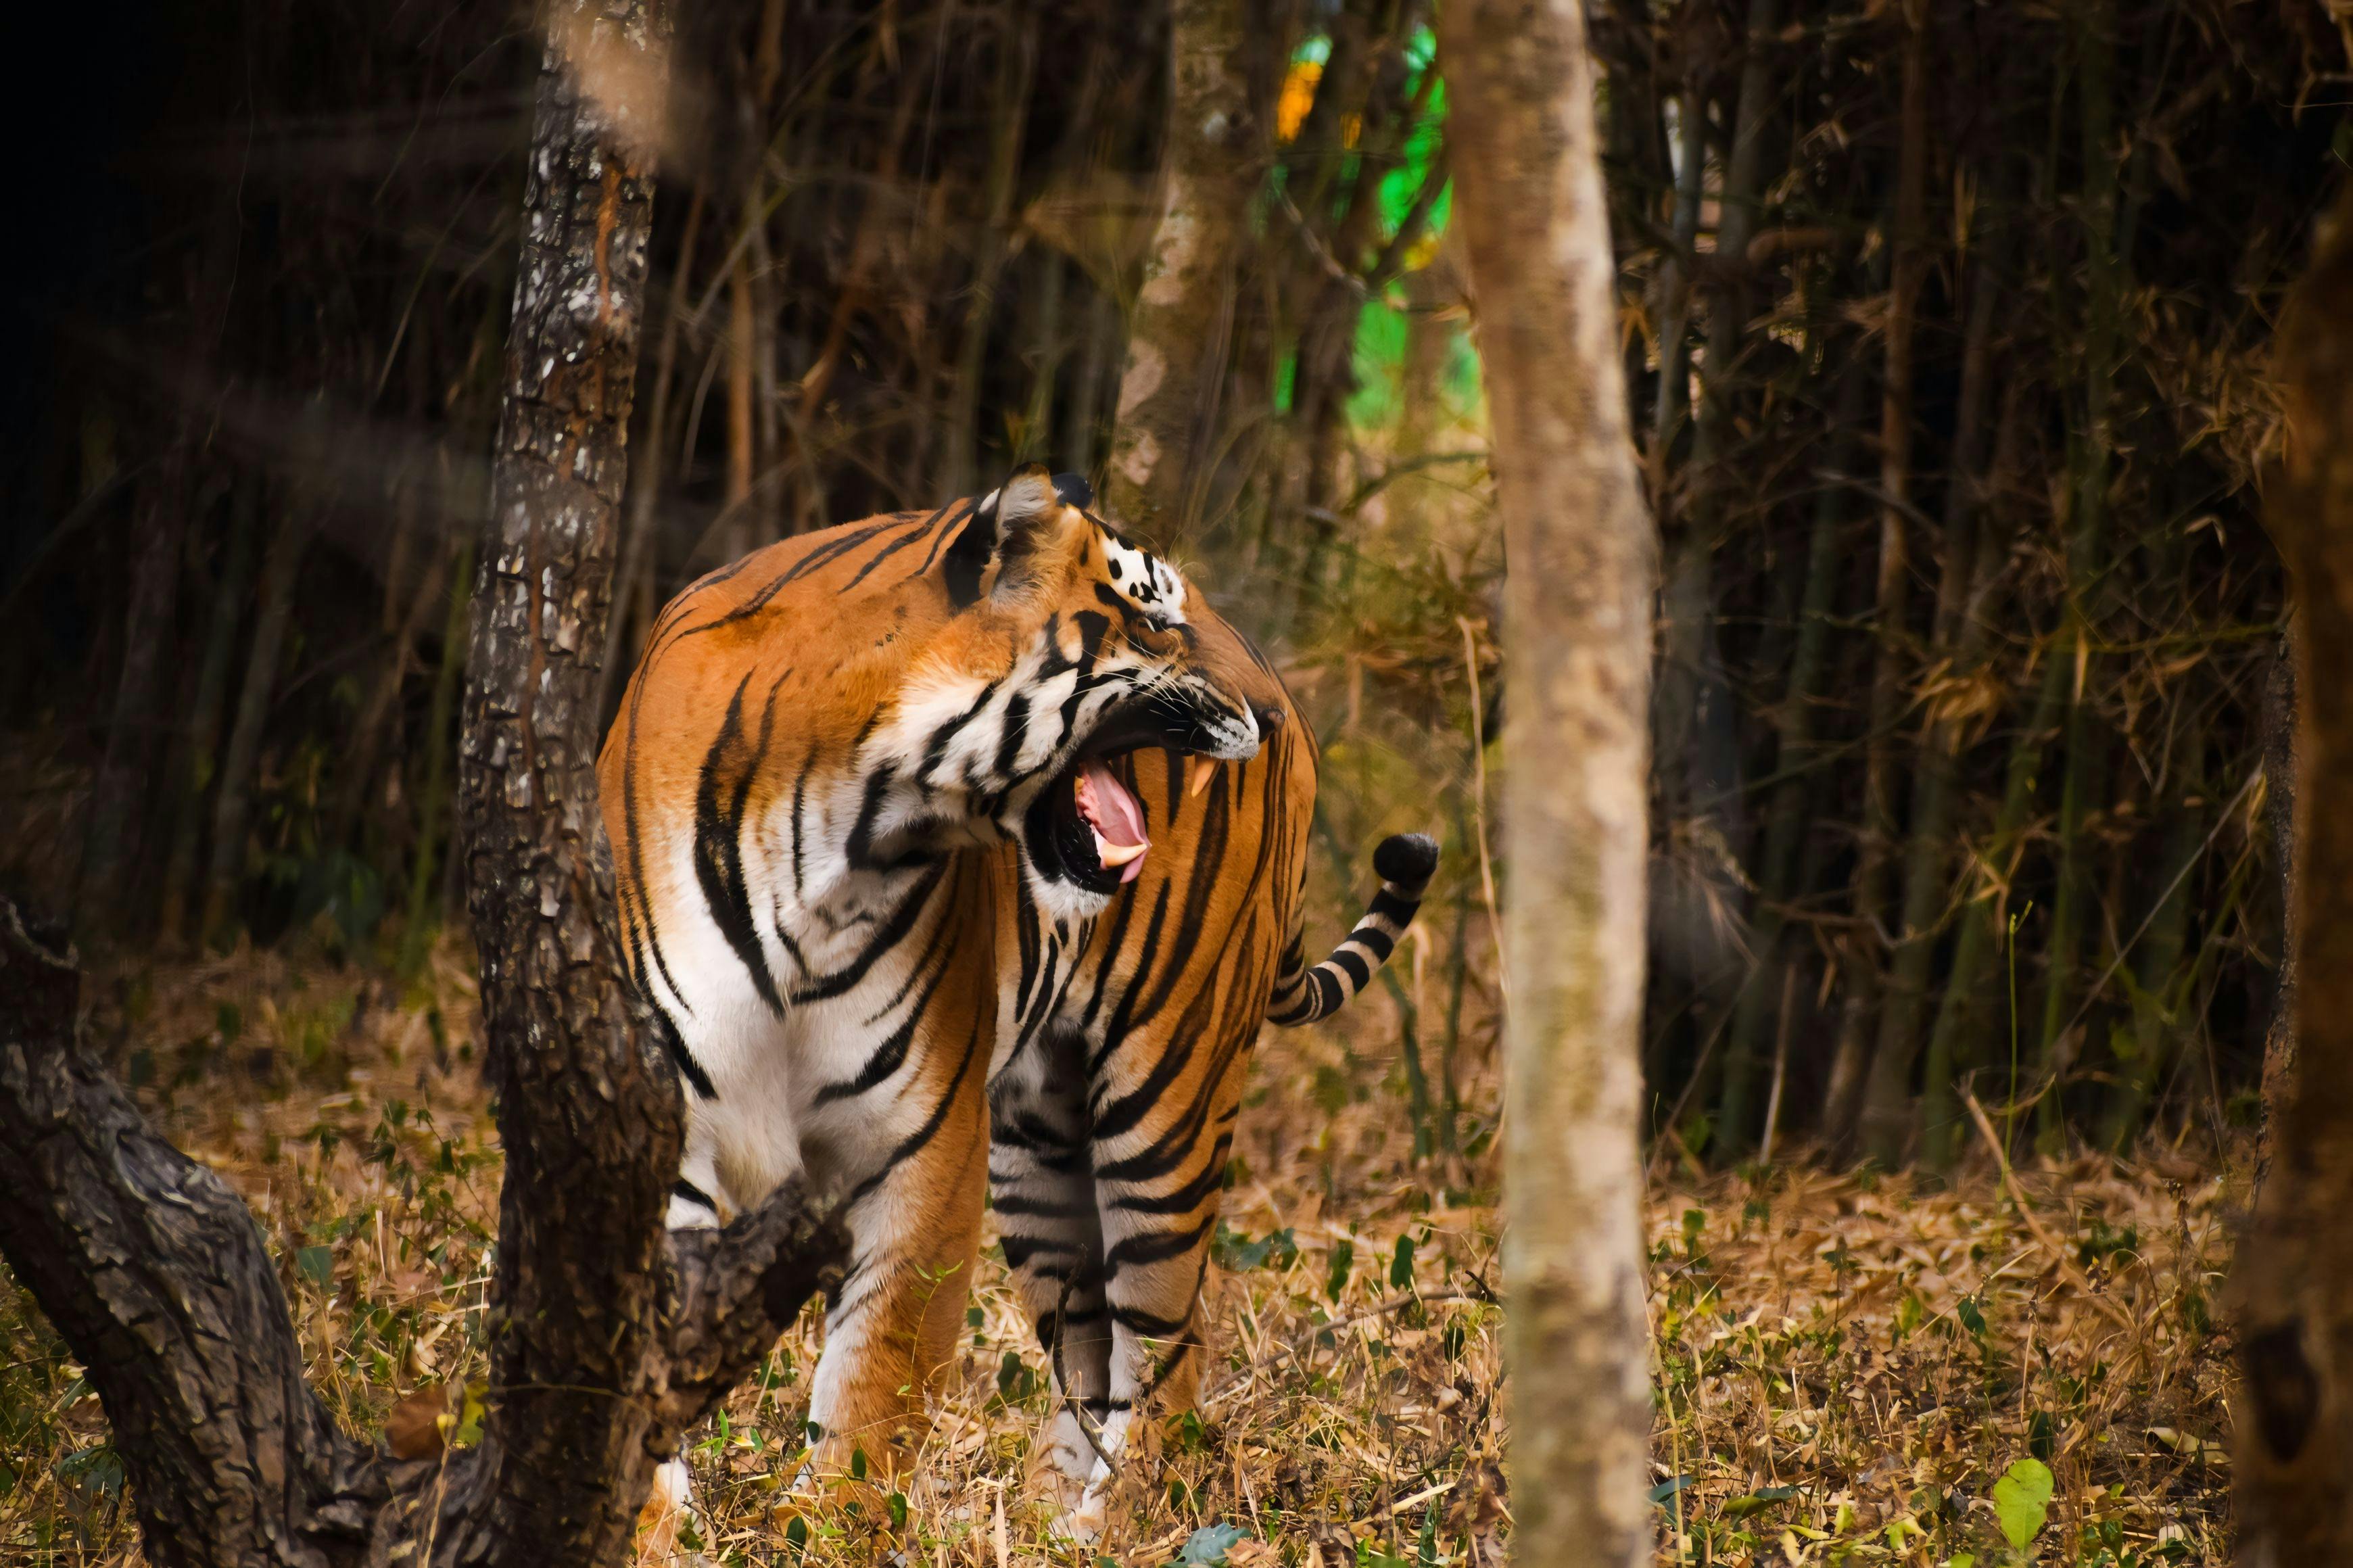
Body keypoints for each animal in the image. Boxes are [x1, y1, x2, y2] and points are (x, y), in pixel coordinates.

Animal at [597, 464, 1436, 1540]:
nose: (1276, 719)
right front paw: (644, 1528)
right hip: (1039, 1151)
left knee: (1170, 1346)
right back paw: (1046, 1516)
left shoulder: (924, 1149)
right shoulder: (665, 1131)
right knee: (1093, 1341)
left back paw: (1106, 1532)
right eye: (1152, 613)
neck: (830, 847)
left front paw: (830, 1528)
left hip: (1167, 1103)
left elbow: (876, 1388)